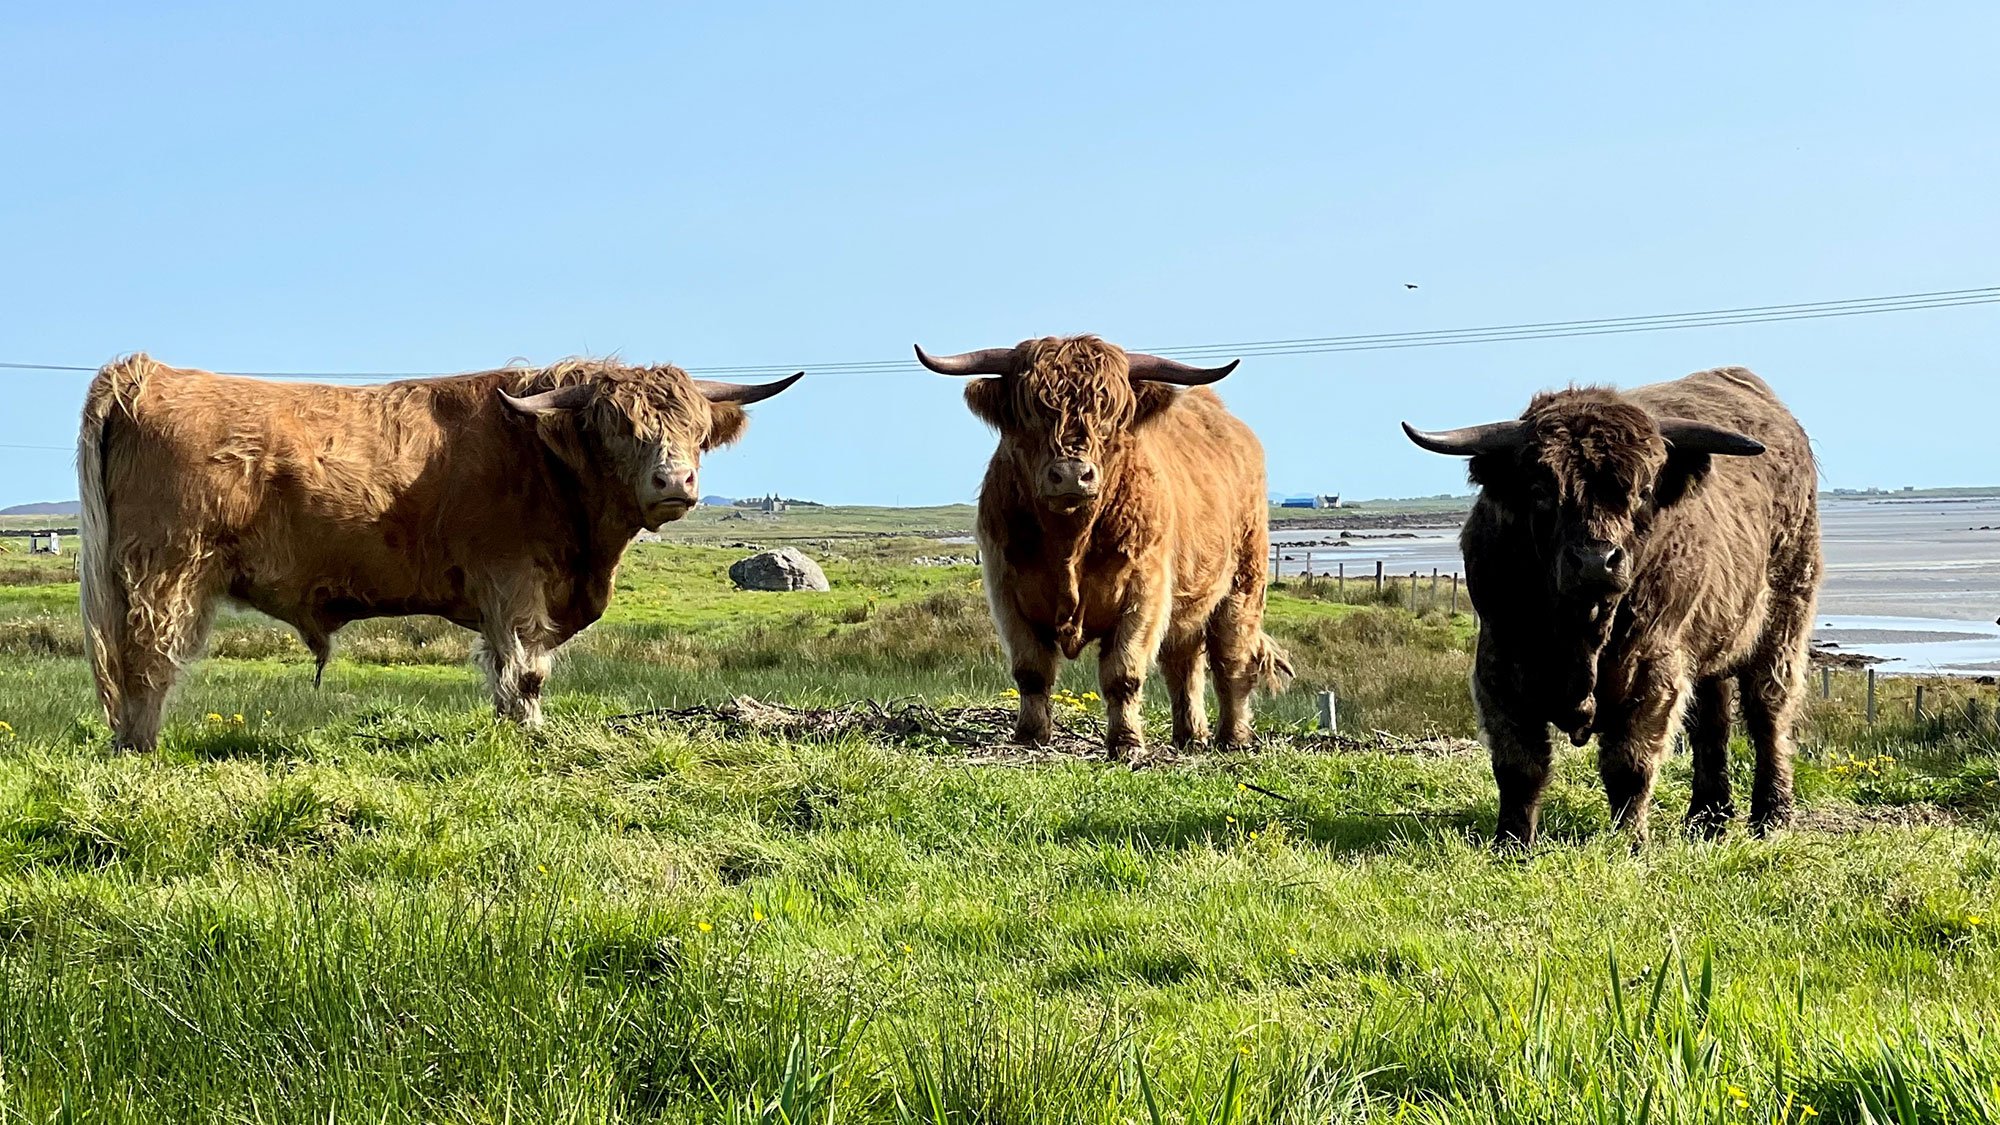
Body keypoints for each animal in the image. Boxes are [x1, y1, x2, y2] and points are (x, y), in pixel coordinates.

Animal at [77, 354, 802, 751]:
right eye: (620, 428)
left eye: (697, 430)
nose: (674, 482)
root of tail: (148, 371)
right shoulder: (513, 581)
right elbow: (522, 670)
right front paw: (528, 734)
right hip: (166, 570)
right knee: (146, 663)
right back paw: (140, 748)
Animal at [917, 335, 1292, 760]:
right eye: (1030, 414)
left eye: (1109, 417)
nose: (1070, 474)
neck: (1069, 543)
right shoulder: (1007, 590)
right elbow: (1031, 671)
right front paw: (1030, 735)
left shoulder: (1143, 593)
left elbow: (1122, 673)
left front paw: (1126, 743)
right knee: (1183, 665)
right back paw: (1190, 736)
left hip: (1244, 584)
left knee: (1232, 663)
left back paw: (1233, 738)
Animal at [1404, 367, 1820, 845]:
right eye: (1541, 489)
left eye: (1643, 490)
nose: (1595, 560)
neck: (1582, 627)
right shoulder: (1500, 663)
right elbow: (1519, 767)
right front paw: (1511, 843)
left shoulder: (1653, 667)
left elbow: (1630, 764)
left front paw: (1630, 843)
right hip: (1712, 639)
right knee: (1711, 720)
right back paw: (1708, 818)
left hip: (1785, 619)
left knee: (1768, 712)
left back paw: (1772, 815)